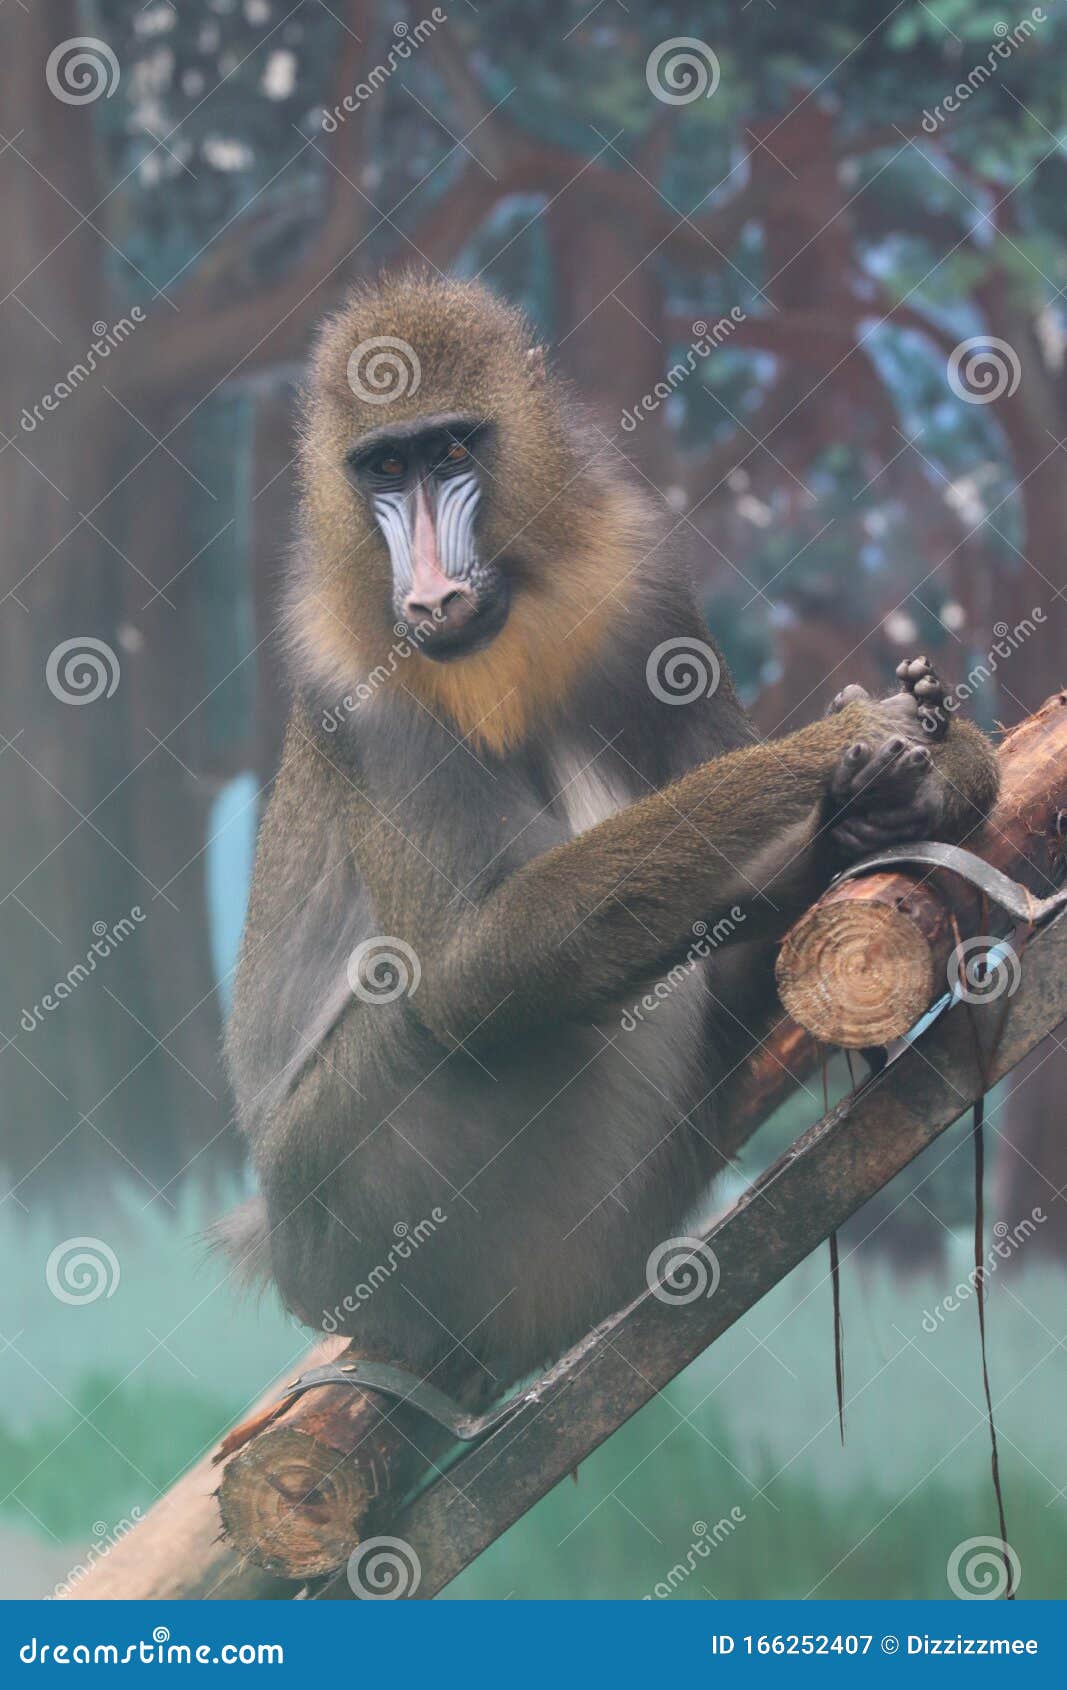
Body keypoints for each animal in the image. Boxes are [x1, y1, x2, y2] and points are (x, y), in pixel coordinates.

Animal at [222, 271, 999, 1405]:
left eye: (452, 451)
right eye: (383, 468)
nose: (432, 594)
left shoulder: (644, 586)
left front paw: (905, 792)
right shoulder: (347, 689)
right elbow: (467, 971)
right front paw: (855, 742)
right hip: (362, 1206)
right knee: (432, 1015)